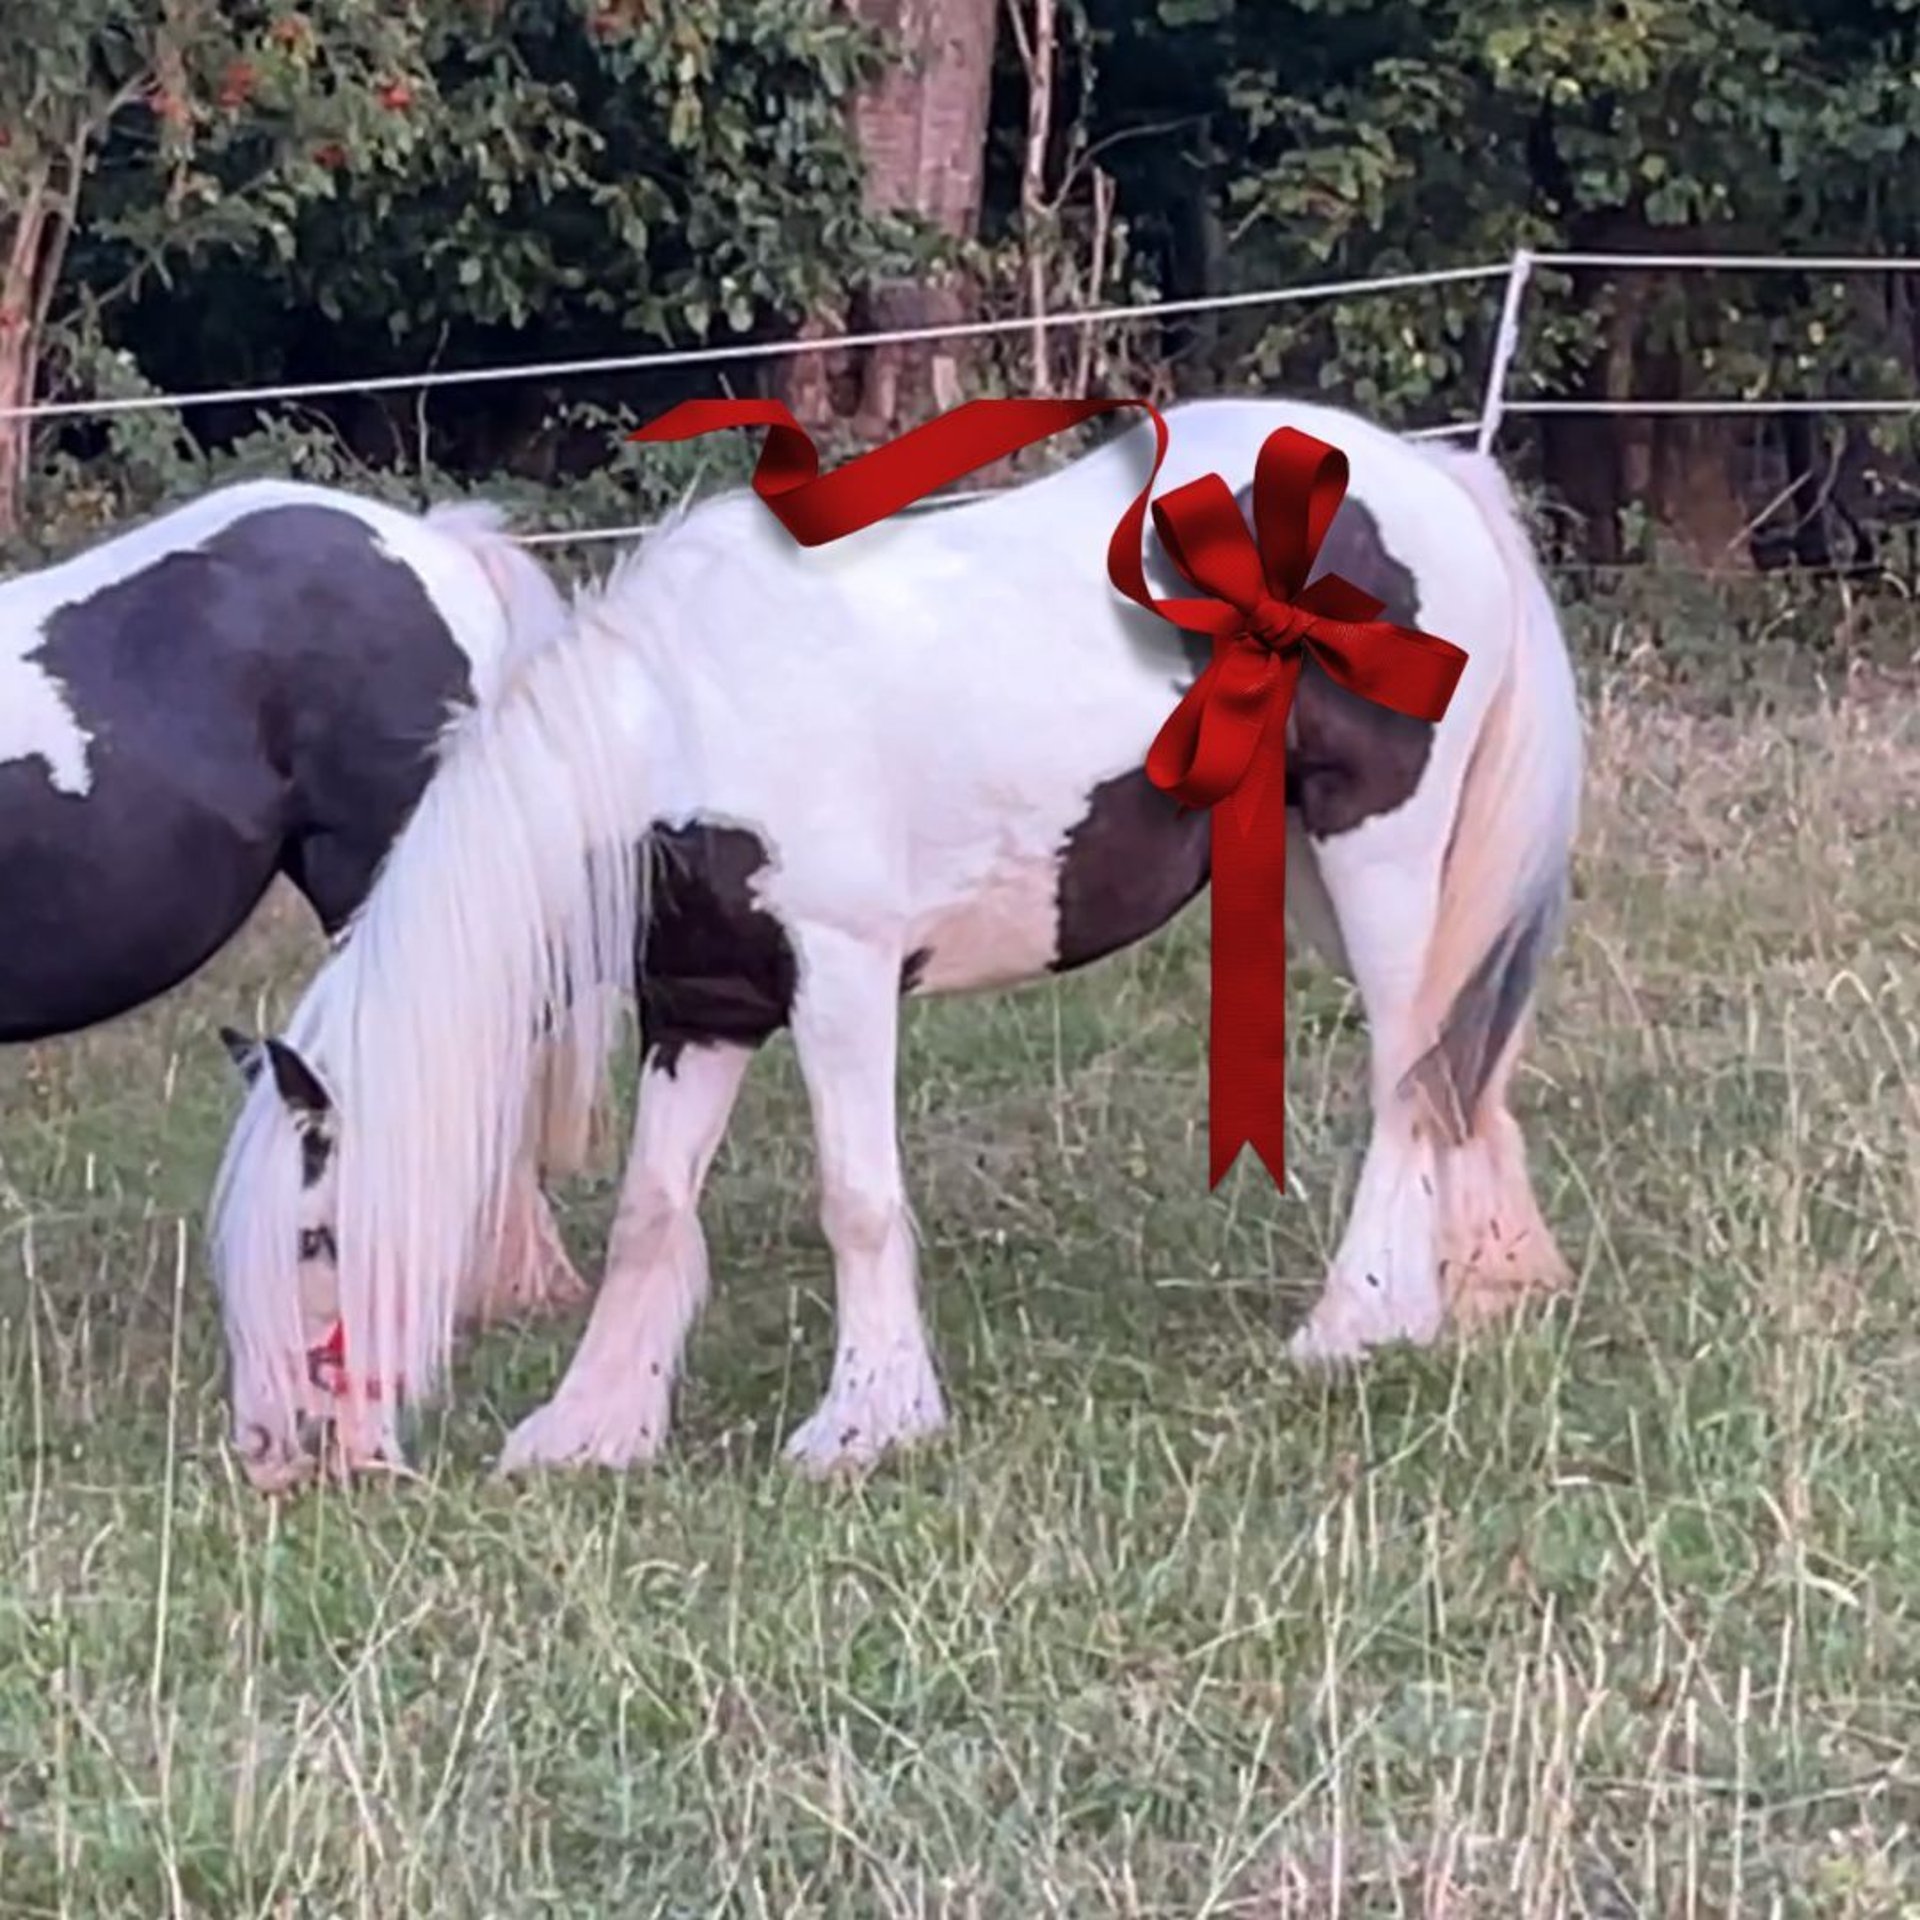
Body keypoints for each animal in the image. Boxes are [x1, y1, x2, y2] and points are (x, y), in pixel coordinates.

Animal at [205, 396, 1584, 1492]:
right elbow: (651, 1213)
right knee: (1464, 1063)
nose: (276, 1453)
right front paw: (590, 1430)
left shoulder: (842, 977)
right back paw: (1484, 1287)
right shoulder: (701, 1005)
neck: (679, 727)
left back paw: (1359, 1323)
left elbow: (857, 1201)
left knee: (1409, 1074)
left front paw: (867, 1423)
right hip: (1313, 869)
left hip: (1378, 852)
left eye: (316, 1238)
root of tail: (1428, 475)